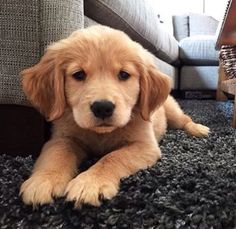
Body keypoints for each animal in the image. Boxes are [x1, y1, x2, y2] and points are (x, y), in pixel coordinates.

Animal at [19, 25, 209, 208]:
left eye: (124, 74)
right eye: (79, 75)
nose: (103, 108)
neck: (101, 134)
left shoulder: (145, 146)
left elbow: (112, 158)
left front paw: (90, 183)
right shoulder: (62, 138)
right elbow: (57, 154)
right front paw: (43, 180)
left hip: (171, 110)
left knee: (185, 119)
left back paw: (198, 129)